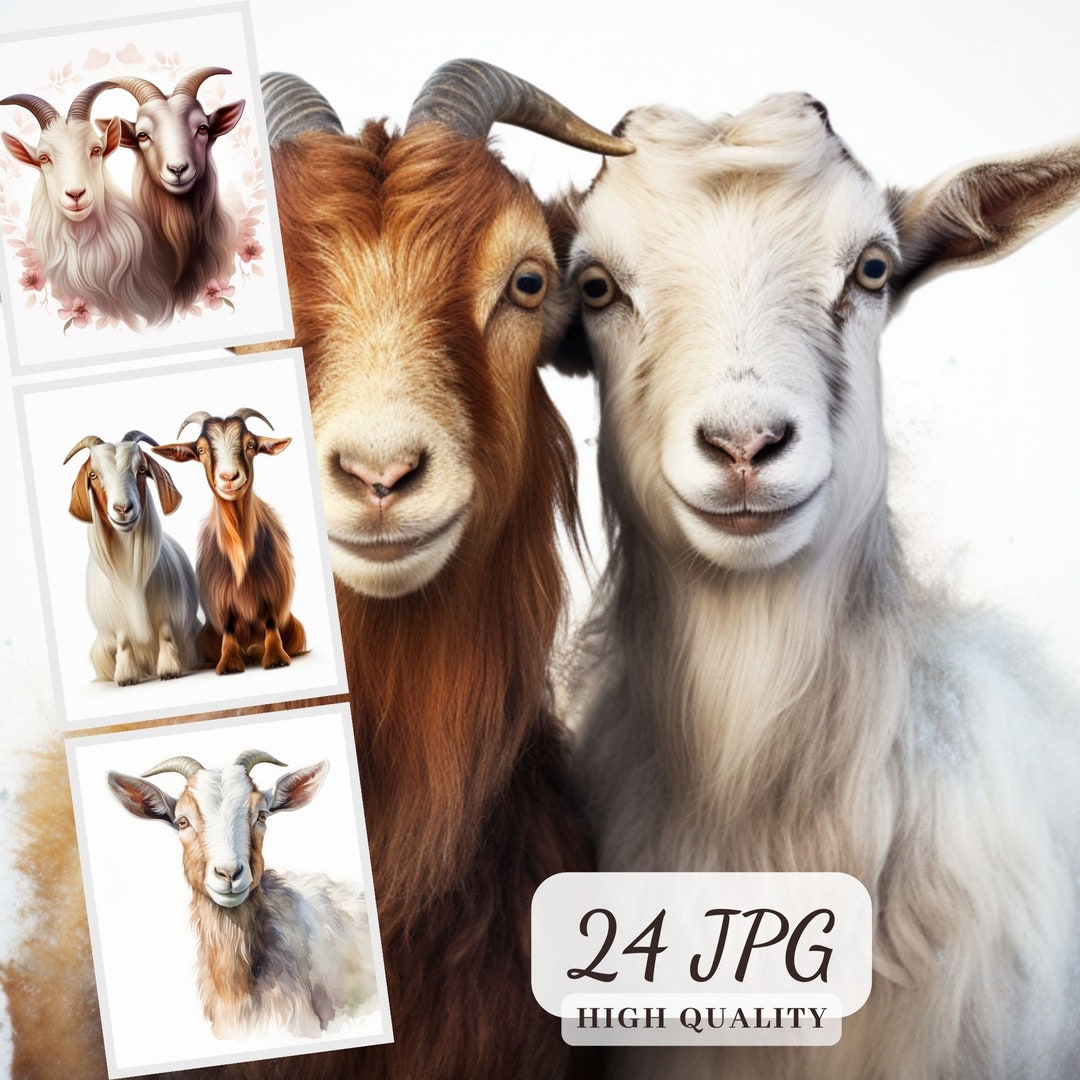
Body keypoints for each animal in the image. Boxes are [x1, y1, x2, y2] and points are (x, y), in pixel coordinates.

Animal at [64, 430, 201, 686]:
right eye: (94, 475)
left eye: (142, 470)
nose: (123, 508)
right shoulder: (117, 621)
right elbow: (124, 641)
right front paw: (126, 676)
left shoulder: (167, 610)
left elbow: (165, 634)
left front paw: (169, 671)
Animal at [153, 409, 306, 675]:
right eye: (201, 449)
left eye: (251, 445)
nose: (229, 477)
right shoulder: (221, 598)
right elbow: (228, 626)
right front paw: (229, 663)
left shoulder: (271, 590)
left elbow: (270, 621)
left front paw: (275, 657)